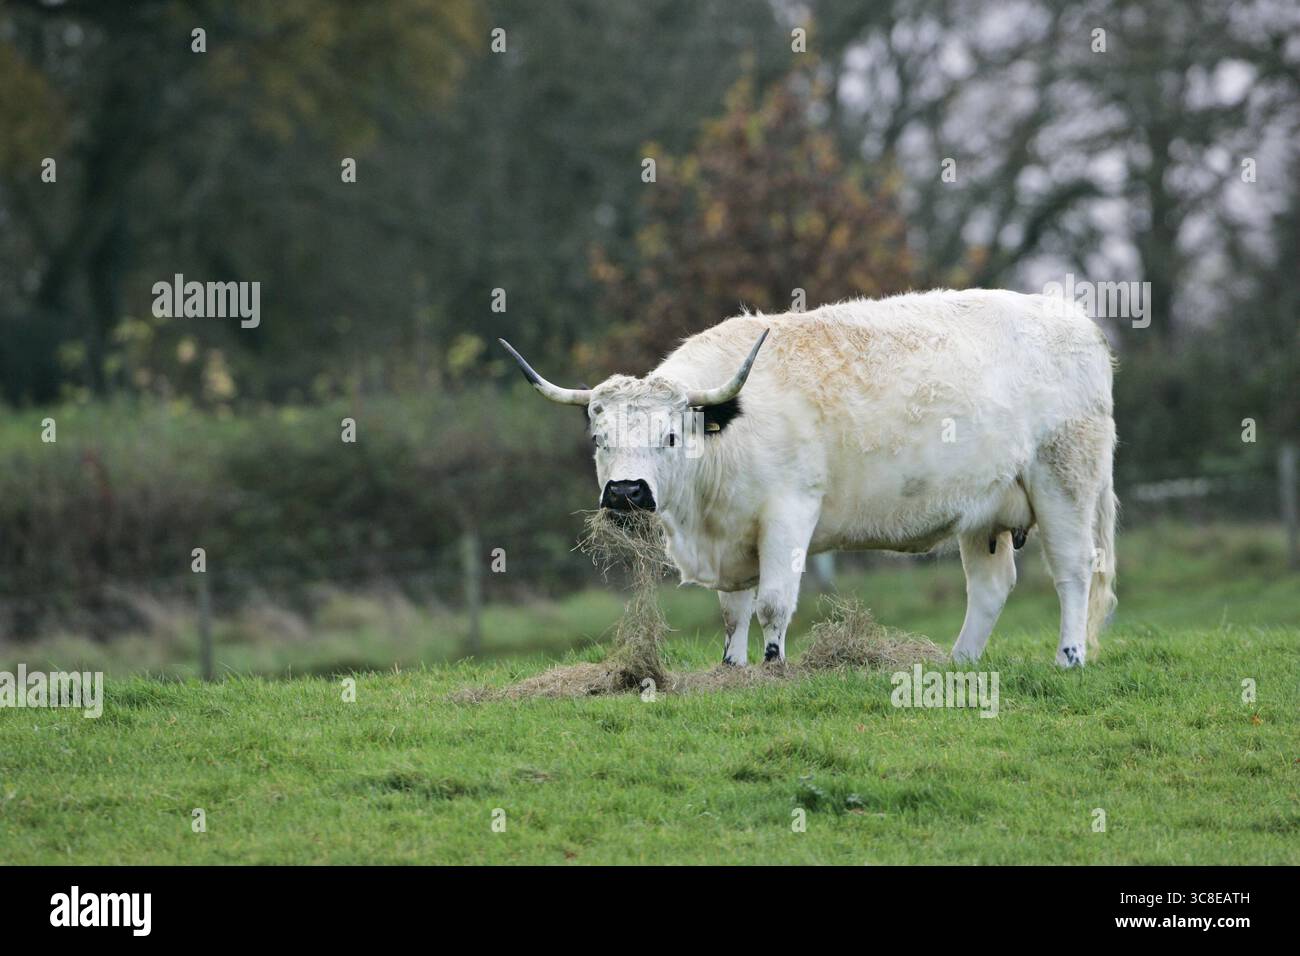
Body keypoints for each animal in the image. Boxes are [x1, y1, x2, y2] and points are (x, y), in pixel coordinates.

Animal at [500, 288, 1117, 668]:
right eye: (599, 439)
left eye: (671, 437)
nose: (626, 493)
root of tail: (1073, 320)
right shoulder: (731, 535)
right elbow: (733, 612)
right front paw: (733, 668)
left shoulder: (789, 512)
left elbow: (773, 603)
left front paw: (774, 665)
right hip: (985, 512)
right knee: (991, 587)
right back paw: (960, 663)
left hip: (1064, 480)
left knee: (1072, 571)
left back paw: (1069, 658)